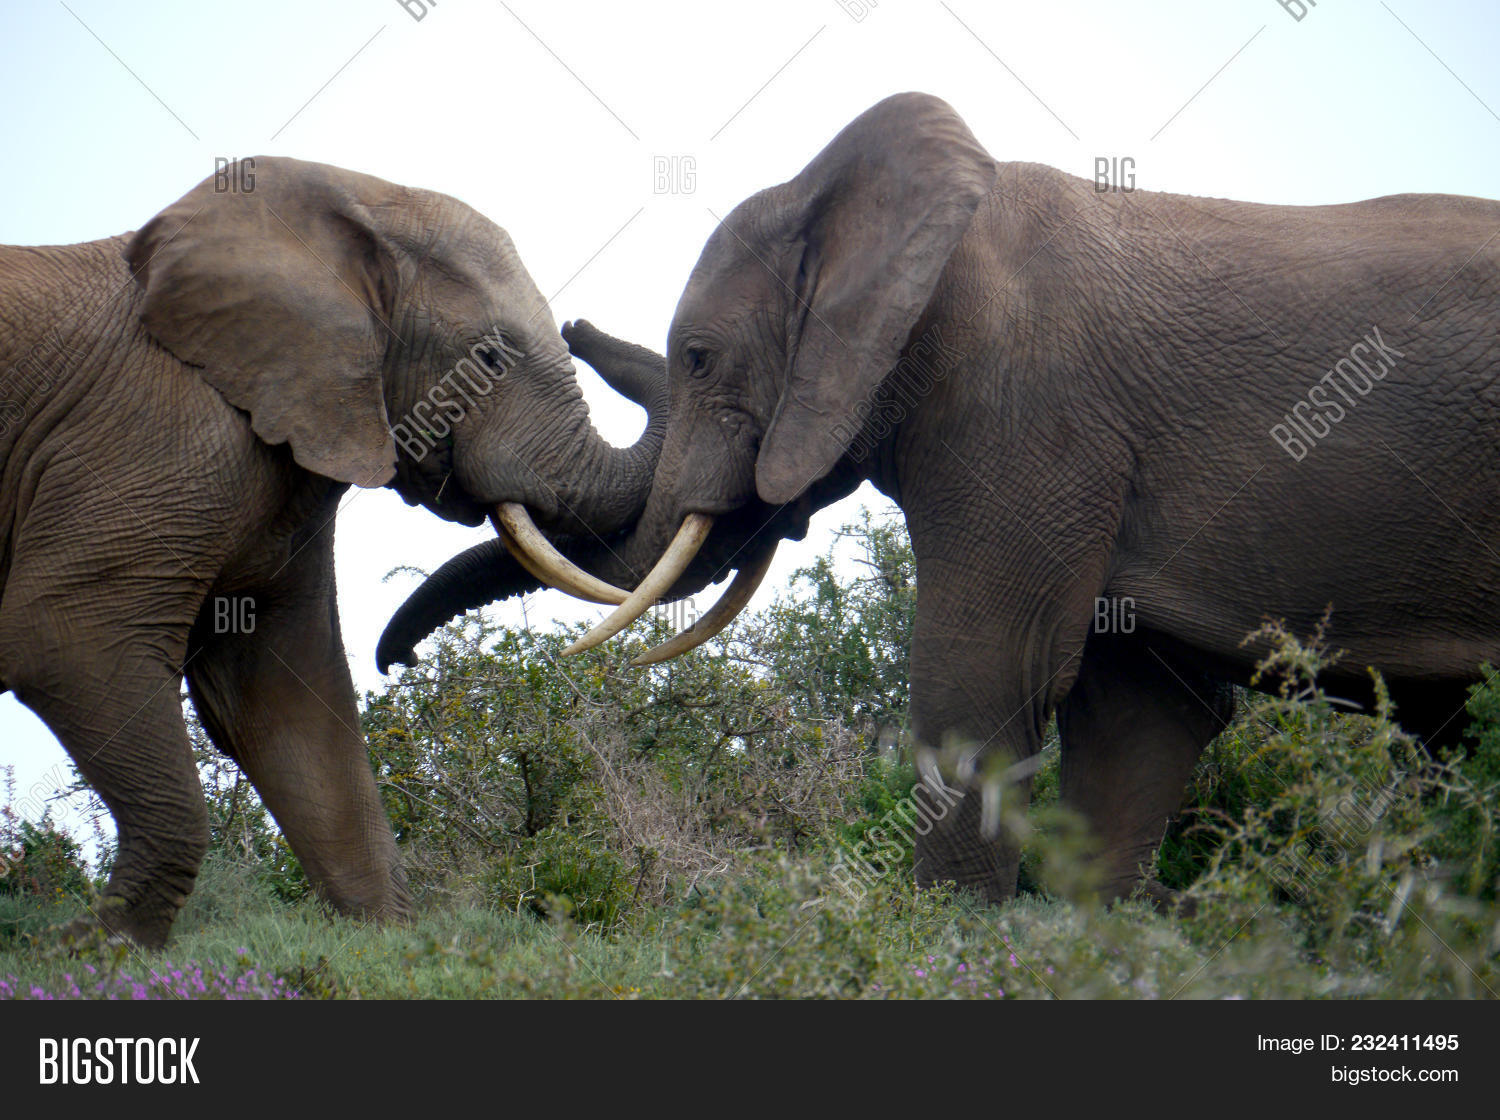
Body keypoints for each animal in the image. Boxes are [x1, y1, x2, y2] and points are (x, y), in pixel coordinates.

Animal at [0, 156, 664, 947]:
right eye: (489, 358)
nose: (400, 659)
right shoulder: (154, 430)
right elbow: (64, 640)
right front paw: (93, 950)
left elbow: (285, 697)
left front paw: (389, 945)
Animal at [383, 91, 1500, 909]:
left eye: (697, 359)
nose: (395, 666)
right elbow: (1136, 721)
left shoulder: (1026, 416)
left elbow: (985, 680)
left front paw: (944, 933)